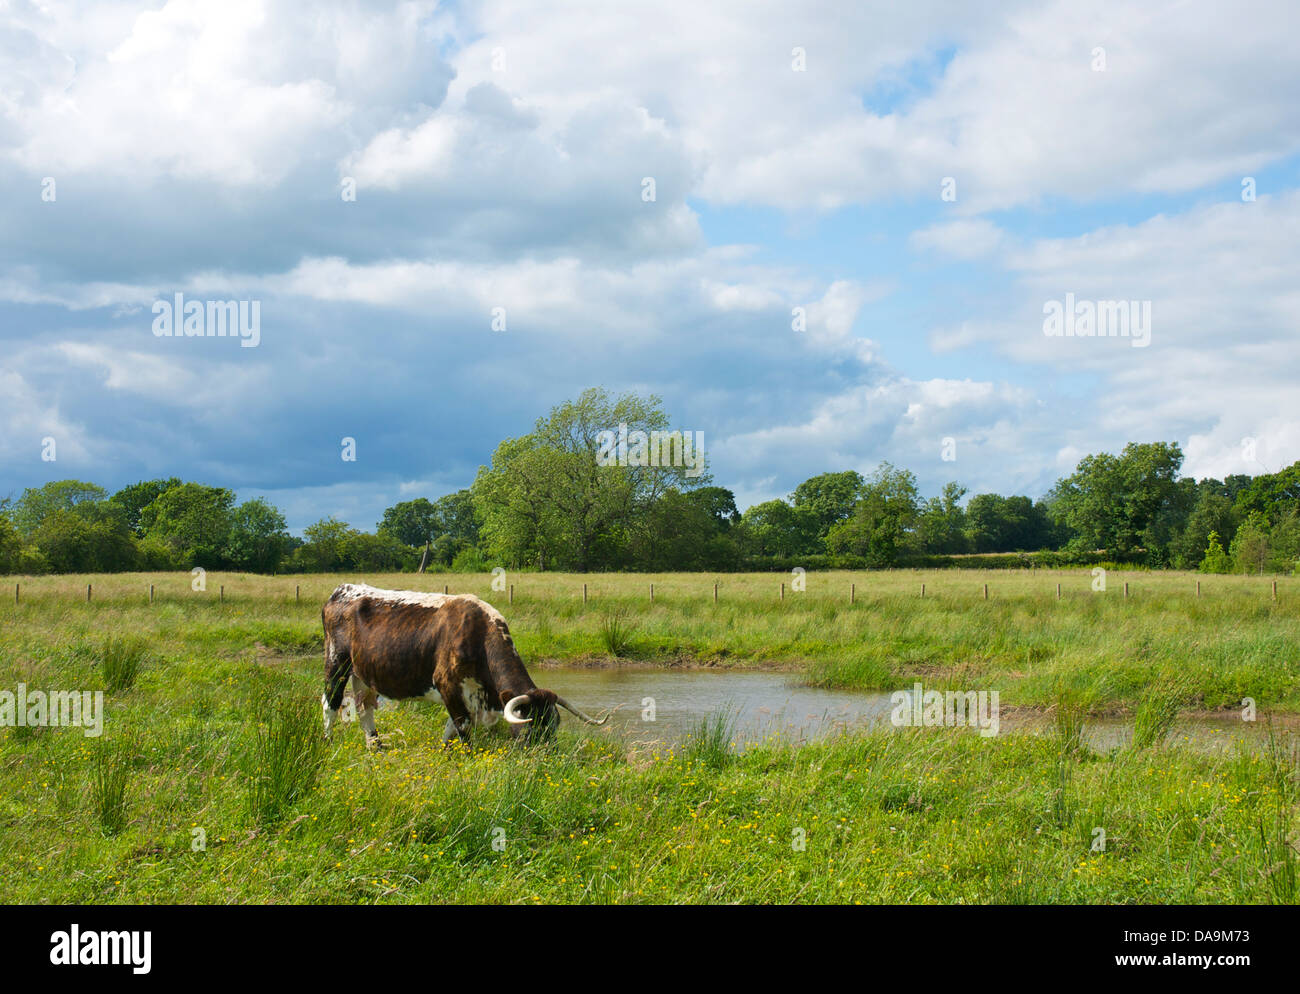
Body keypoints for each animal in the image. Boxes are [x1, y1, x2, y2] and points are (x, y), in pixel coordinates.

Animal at [321, 583, 609, 747]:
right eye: (529, 729)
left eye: (554, 725)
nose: (547, 759)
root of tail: (343, 589)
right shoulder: (448, 685)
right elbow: (463, 729)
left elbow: (450, 732)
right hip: (336, 662)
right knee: (331, 703)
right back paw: (327, 743)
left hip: (363, 673)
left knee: (364, 708)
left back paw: (375, 746)